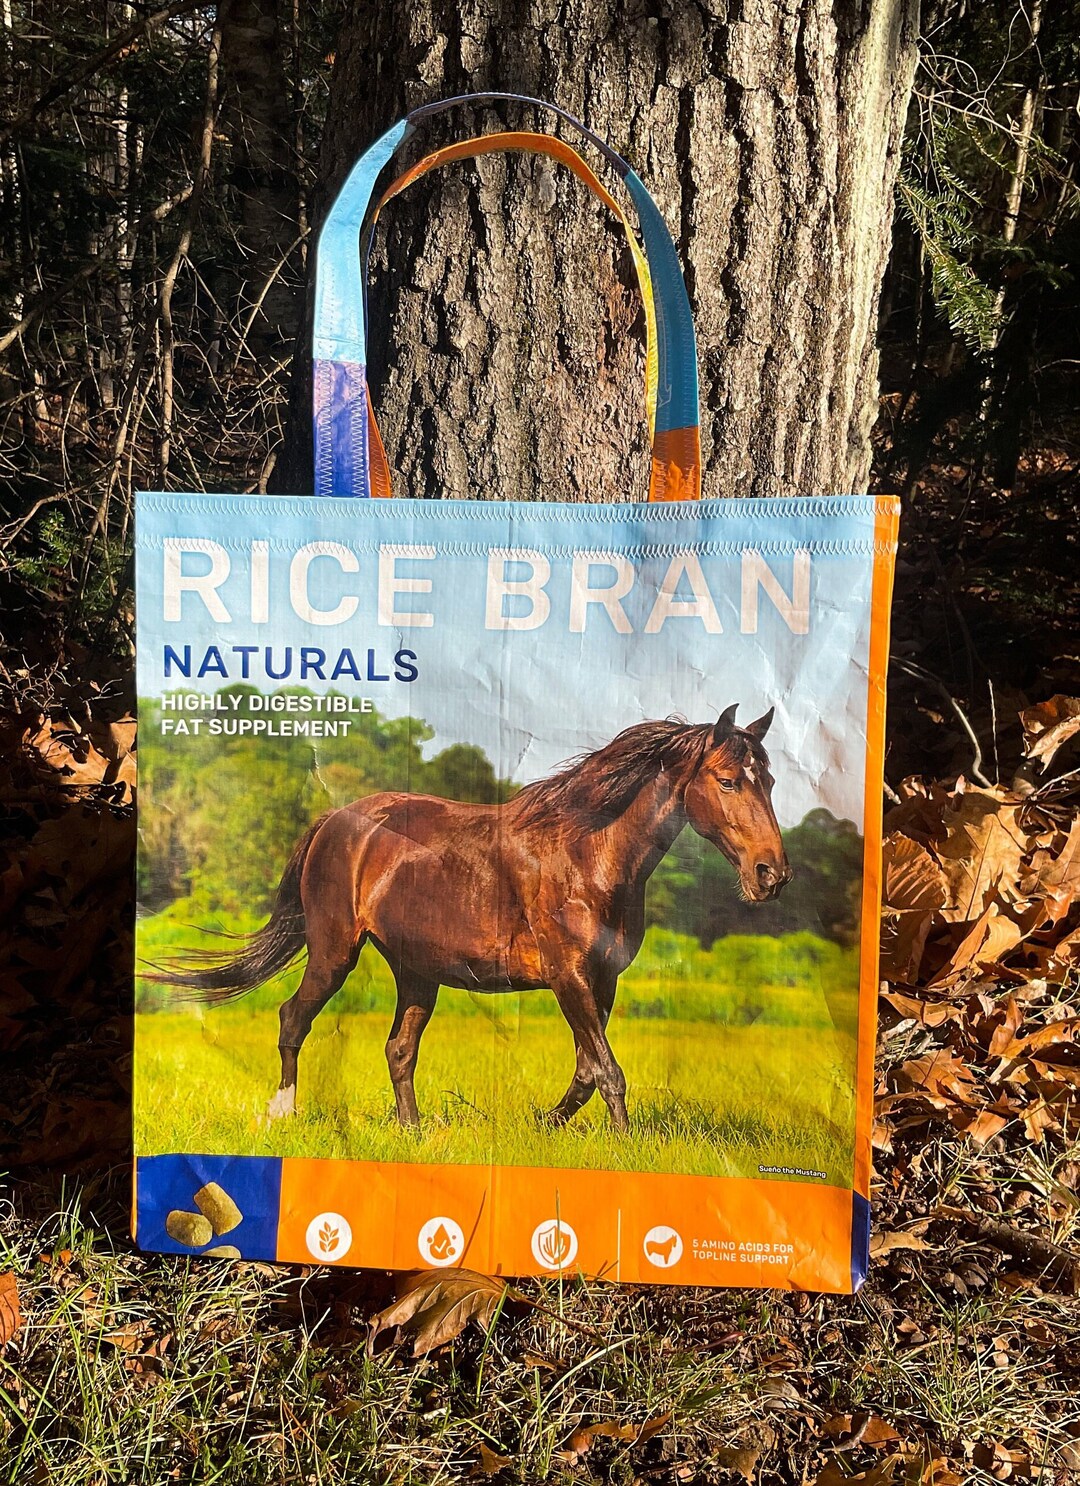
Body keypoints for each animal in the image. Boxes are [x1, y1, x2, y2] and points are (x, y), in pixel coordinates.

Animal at [152, 704, 791, 1130]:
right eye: (727, 781)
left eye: (770, 781)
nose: (772, 875)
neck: (587, 855)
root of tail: (335, 819)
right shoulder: (569, 977)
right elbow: (608, 1071)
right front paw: (622, 1147)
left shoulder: (602, 979)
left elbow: (588, 1071)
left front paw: (545, 1124)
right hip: (334, 951)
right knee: (293, 1018)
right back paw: (281, 1112)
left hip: (416, 971)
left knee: (398, 1049)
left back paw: (411, 1133)